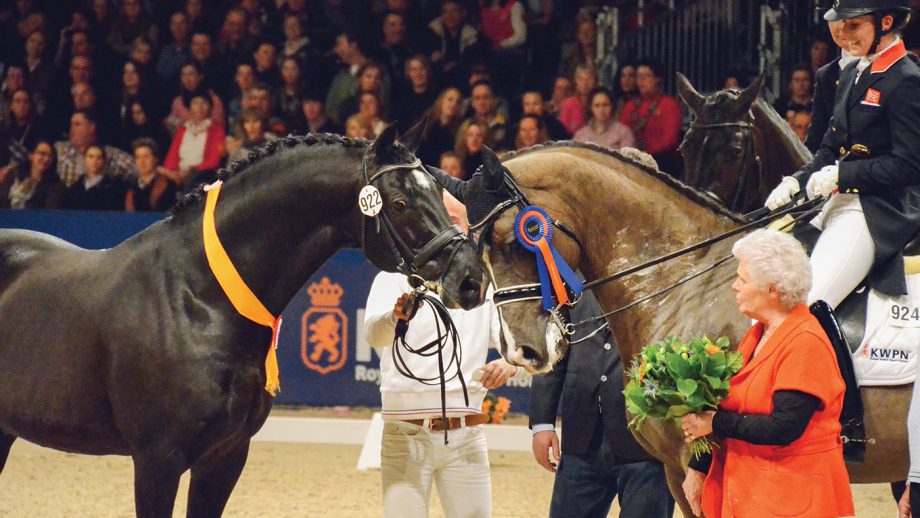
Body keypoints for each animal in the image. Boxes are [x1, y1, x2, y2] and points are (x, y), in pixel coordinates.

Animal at [0, 127, 489, 518]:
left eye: (441, 195)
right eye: (402, 201)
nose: (471, 280)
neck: (196, 298)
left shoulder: (225, 458)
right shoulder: (157, 461)